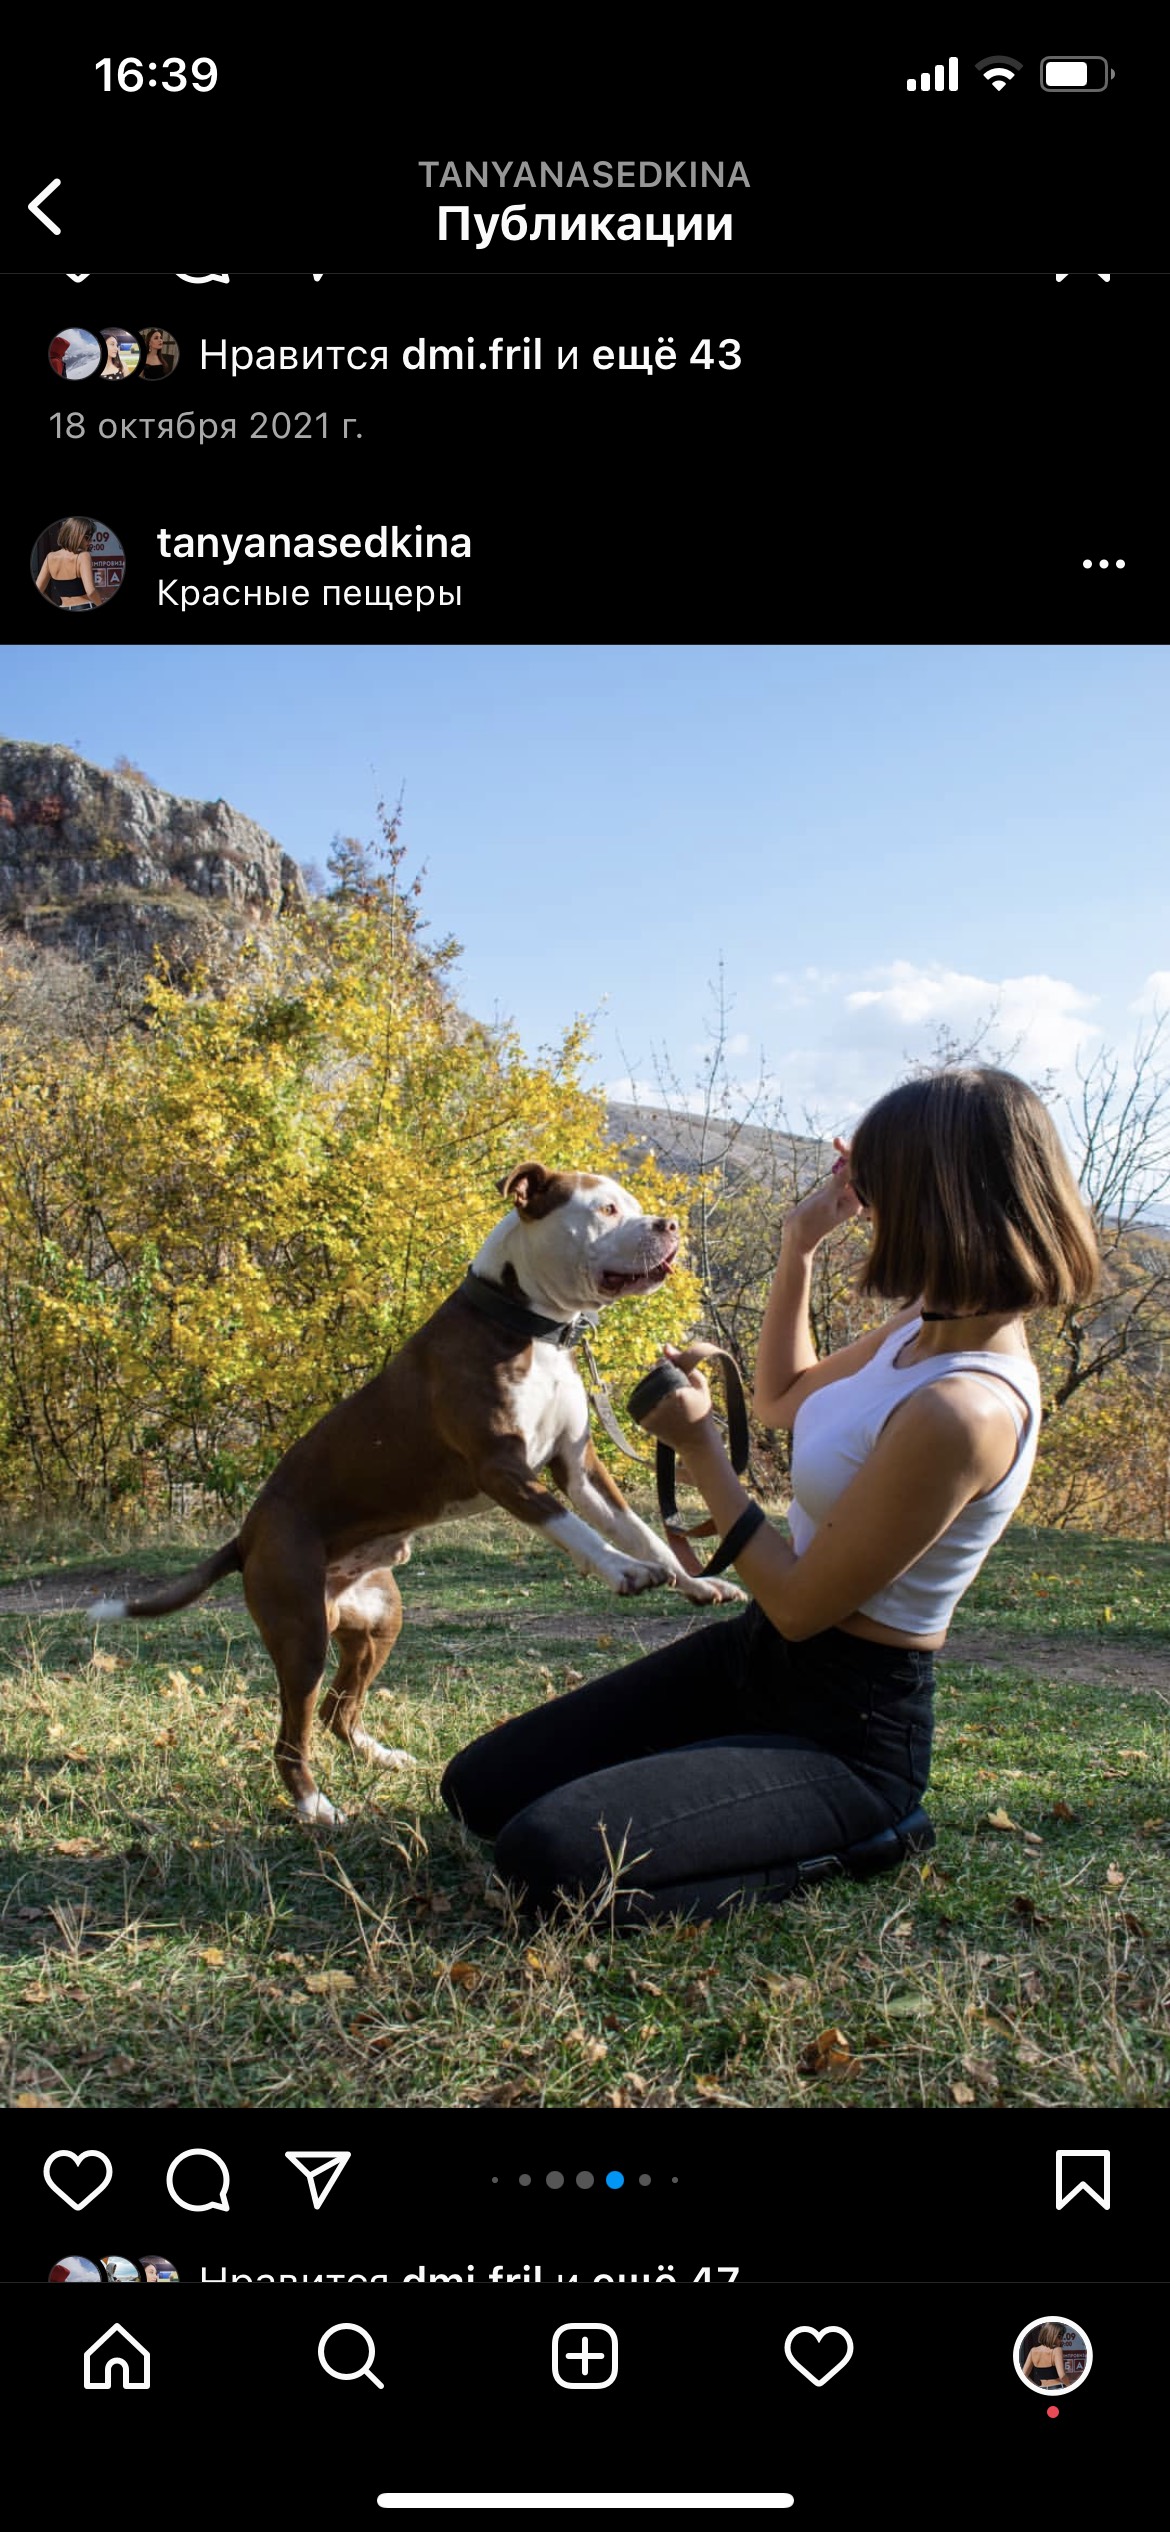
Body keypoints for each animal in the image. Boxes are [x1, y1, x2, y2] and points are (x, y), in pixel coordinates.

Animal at [93, 1164, 749, 1823]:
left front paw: (696, 1582)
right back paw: (314, 1806)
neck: (529, 1326)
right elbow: (576, 1531)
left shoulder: (579, 1469)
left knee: (337, 1711)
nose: (669, 1225)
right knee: (291, 1736)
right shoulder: (502, 1470)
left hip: (379, 1623)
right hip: (301, 1638)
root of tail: (247, 1535)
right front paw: (623, 1572)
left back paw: (380, 1757)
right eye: (607, 1210)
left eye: (633, 1205)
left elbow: (639, 1530)